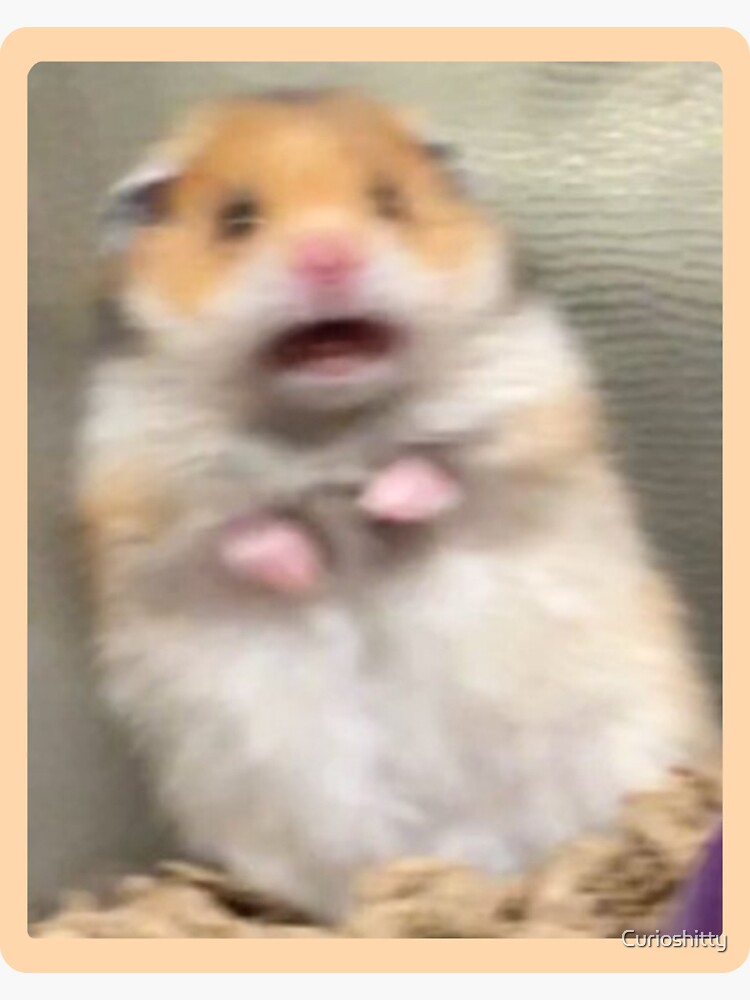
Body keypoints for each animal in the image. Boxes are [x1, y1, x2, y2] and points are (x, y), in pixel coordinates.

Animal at [77, 90, 718, 922]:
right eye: (236, 219)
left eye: (390, 203)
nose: (330, 258)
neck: (331, 424)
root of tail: (475, 856)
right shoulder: (139, 502)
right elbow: (239, 531)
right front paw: (306, 566)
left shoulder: (535, 421)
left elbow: (443, 470)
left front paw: (382, 502)